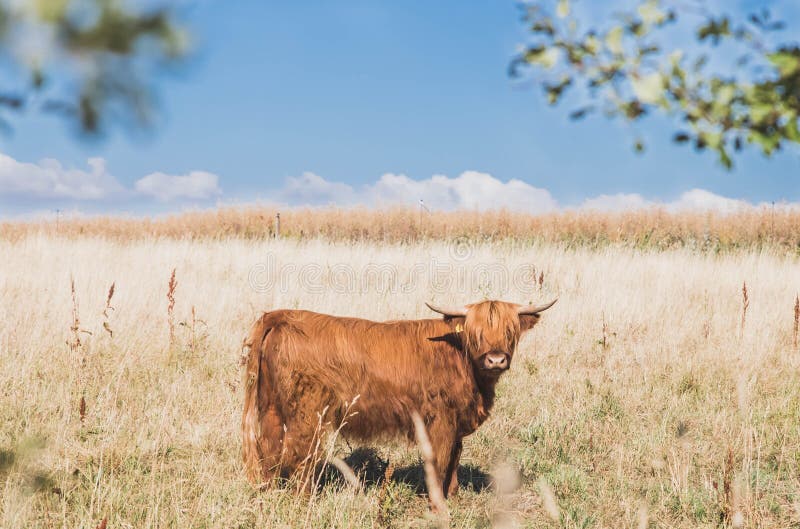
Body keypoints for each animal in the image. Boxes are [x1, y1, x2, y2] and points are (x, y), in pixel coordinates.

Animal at [241, 298, 556, 499]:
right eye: (475, 333)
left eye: (510, 332)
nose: (496, 359)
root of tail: (282, 315)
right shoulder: (440, 420)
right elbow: (440, 461)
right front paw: (438, 505)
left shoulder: (455, 422)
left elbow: (455, 457)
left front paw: (452, 495)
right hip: (306, 413)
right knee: (298, 453)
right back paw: (303, 498)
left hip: (271, 406)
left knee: (269, 447)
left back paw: (270, 490)